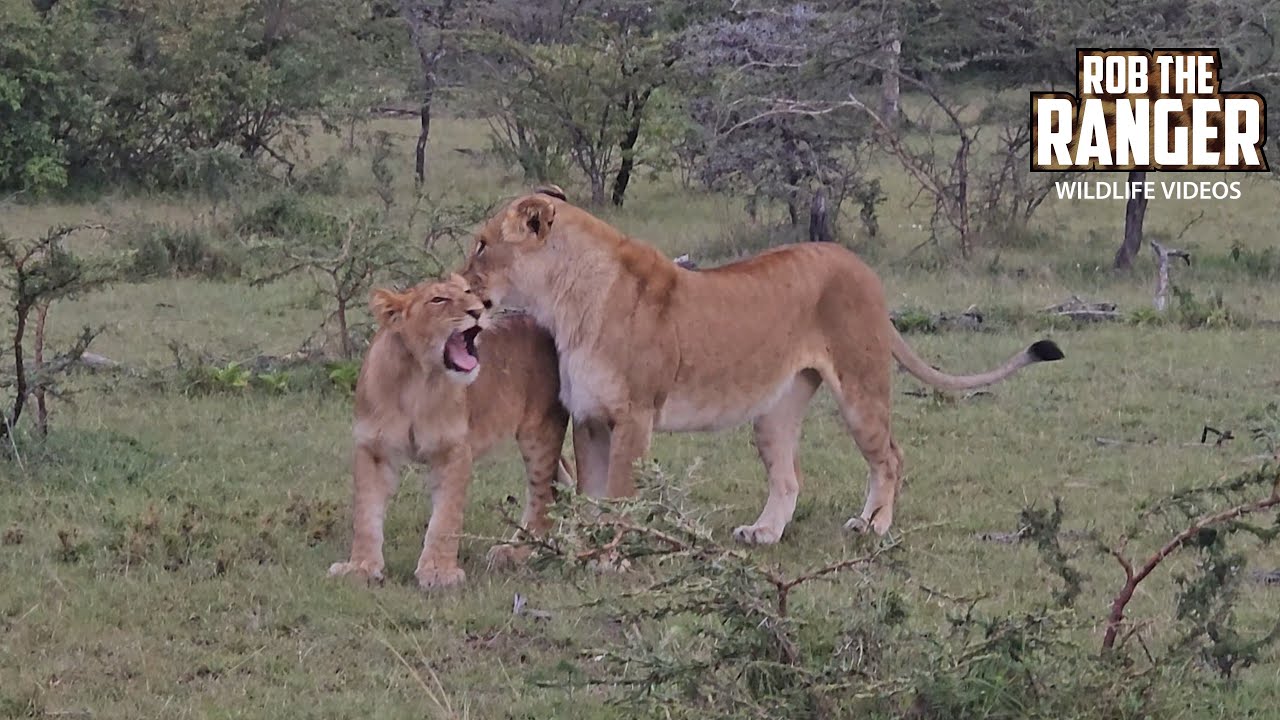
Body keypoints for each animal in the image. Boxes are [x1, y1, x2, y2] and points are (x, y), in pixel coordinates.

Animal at [327, 274, 570, 589]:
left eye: (468, 292)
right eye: (438, 300)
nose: (478, 310)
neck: (418, 380)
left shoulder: (454, 449)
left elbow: (445, 518)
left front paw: (438, 572)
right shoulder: (373, 448)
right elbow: (366, 514)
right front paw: (361, 567)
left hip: (539, 431)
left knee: (544, 496)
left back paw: (516, 552)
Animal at [460, 194, 1064, 543]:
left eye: (482, 246)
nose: (462, 283)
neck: (562, 300)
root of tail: (859, 265)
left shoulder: (633, 416)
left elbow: (621, 494)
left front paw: (612, 553)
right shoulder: (589, 418)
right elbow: (591, 494)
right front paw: (582, 546)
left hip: (861, 388)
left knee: (890, 456)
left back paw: (874, 526)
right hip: (775, 411)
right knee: (789, 476)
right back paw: (763, 533)